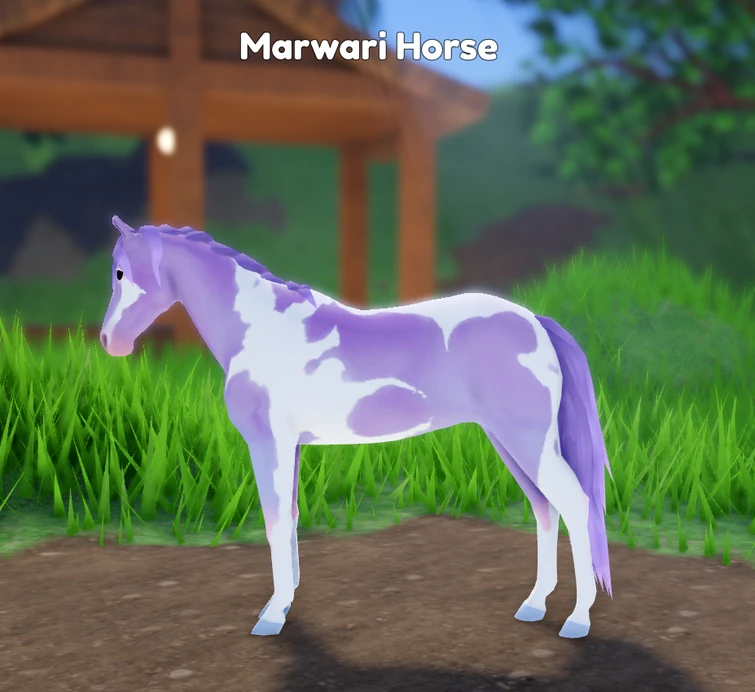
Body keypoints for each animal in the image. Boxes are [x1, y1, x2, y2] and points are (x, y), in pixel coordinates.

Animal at [100, 216, 613, 639]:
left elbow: (274, 521)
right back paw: (534, 605)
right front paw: (284, 605)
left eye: (121, 273)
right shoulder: (290, 447)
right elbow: (290, 519)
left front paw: (271, 616)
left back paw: (577, 620)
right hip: (510, 442)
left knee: (575, 504)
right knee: (545, 509)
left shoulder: (269, 444)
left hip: (526, 442)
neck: (261, 332)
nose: (109, 341)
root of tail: (535, 323)